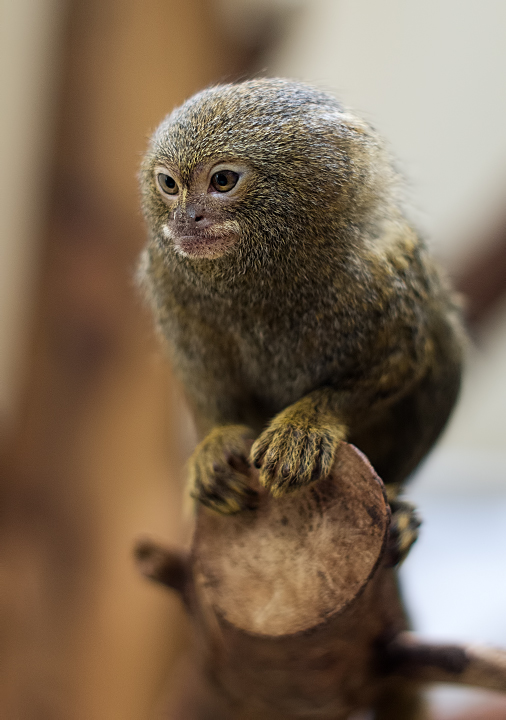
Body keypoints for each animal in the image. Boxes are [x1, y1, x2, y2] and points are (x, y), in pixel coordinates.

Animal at [138, 78, 464, 538]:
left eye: (223, 180)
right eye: (169, 184)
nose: (186, 218)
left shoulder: (388, 275)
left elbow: (395, 367)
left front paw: (305, 424)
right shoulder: (169, 286)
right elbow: (204, 382)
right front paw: (216, 443)